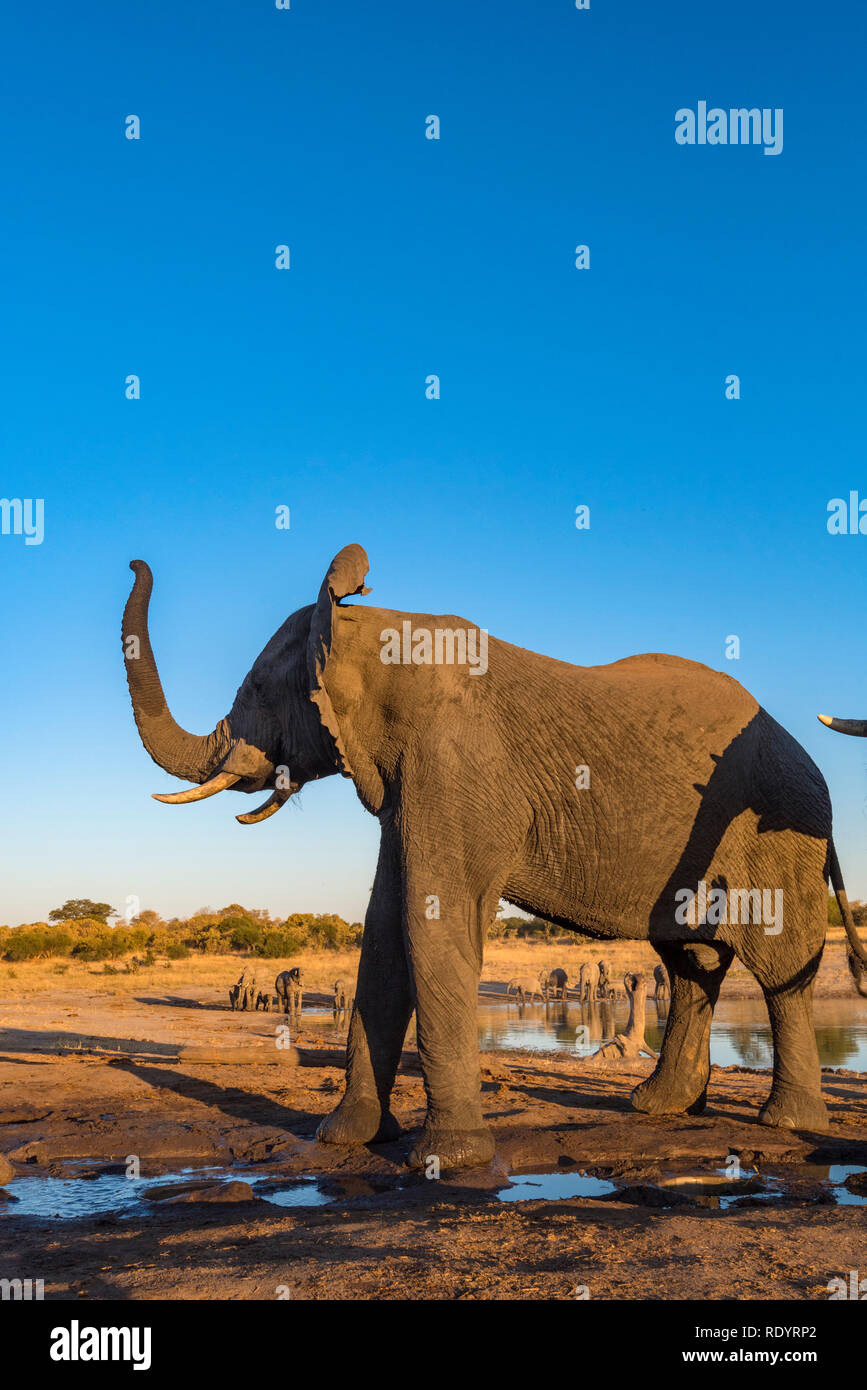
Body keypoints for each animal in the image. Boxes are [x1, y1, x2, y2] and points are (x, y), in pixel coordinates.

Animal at [122, 543, 867, 1170]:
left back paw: (785, 1125)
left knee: (776, 967)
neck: (373, 629)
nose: (135, 562)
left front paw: (447, 1161)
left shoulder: (454, 768)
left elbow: (431, 924)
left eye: (254, 691)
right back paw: (660, 1108)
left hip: (778, 836)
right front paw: (347, 1138)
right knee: (691, 964)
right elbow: (383, 936)